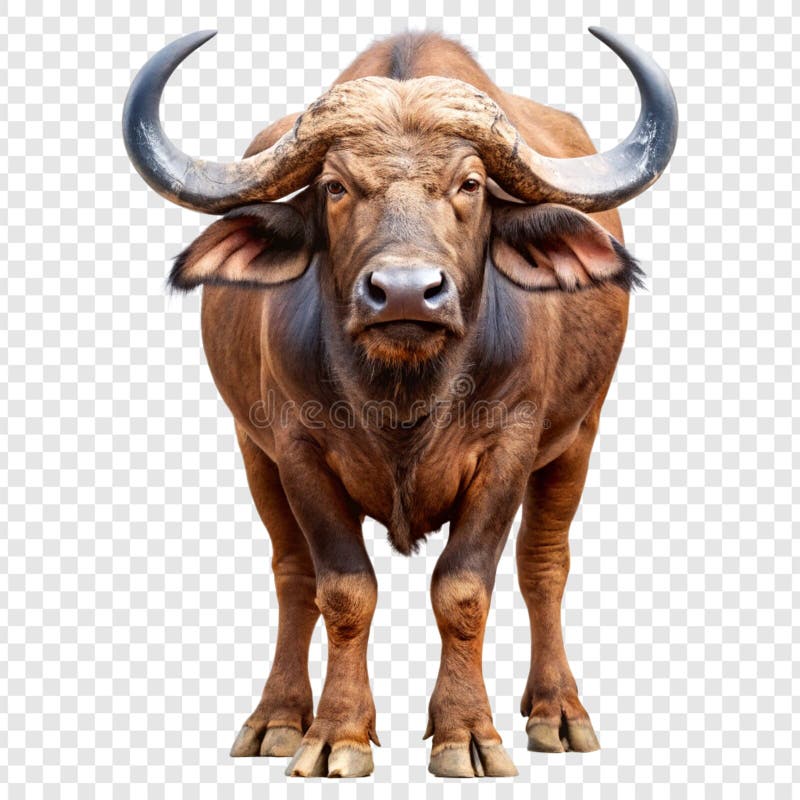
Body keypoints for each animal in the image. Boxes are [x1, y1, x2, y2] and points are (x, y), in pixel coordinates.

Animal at [123, 28, 676, 778]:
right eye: (335, 186)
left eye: (469, 184)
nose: (408, 292)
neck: (404, 392)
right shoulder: (295, 448)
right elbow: (342, 589)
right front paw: (338, 733)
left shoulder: (512, 444)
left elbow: (464, 588)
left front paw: (466, 732)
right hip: (252, 449)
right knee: (291, 575)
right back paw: (277, 718)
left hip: (578, 437)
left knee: (544, 565)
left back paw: (557, 711)